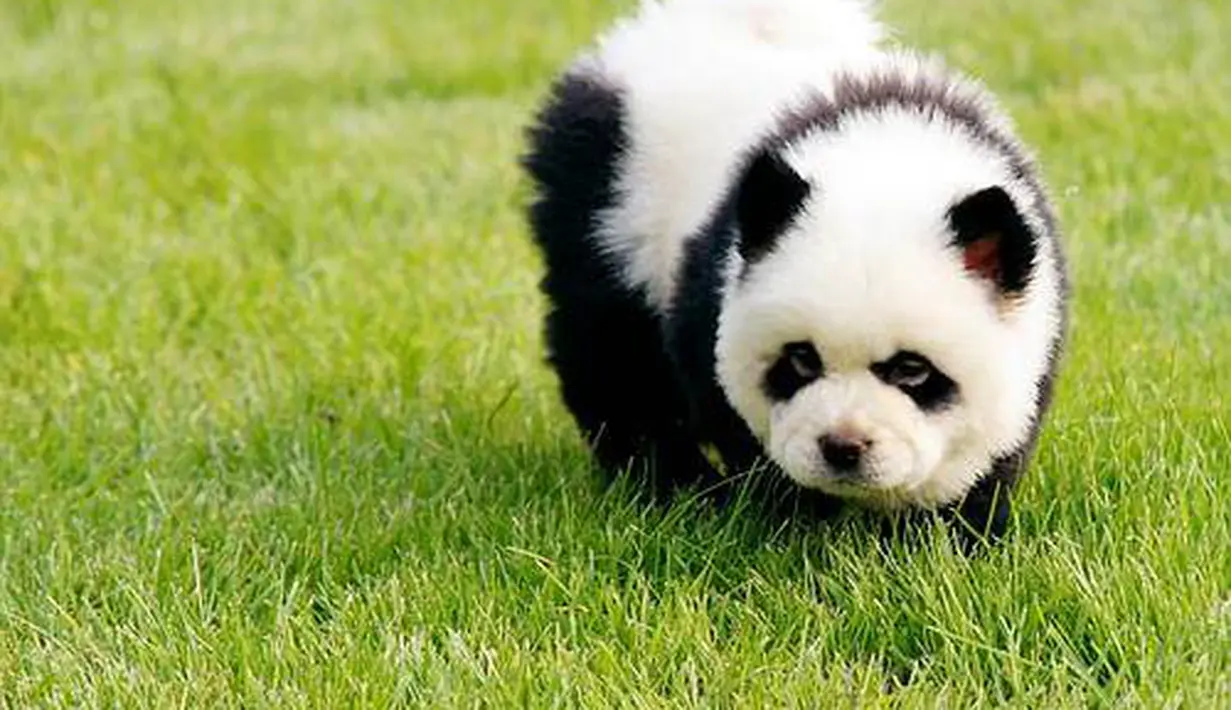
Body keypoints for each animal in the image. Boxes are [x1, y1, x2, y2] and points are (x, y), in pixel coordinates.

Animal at [520, 0, 1068, 546]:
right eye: (802, 359)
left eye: (912, 369)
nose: (843, 447)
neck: (885, 162)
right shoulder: (711, 288)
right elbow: (732, 414)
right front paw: (791, 526)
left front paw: (948, 537)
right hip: (609, 207)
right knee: (613, 354)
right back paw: (668, 482)